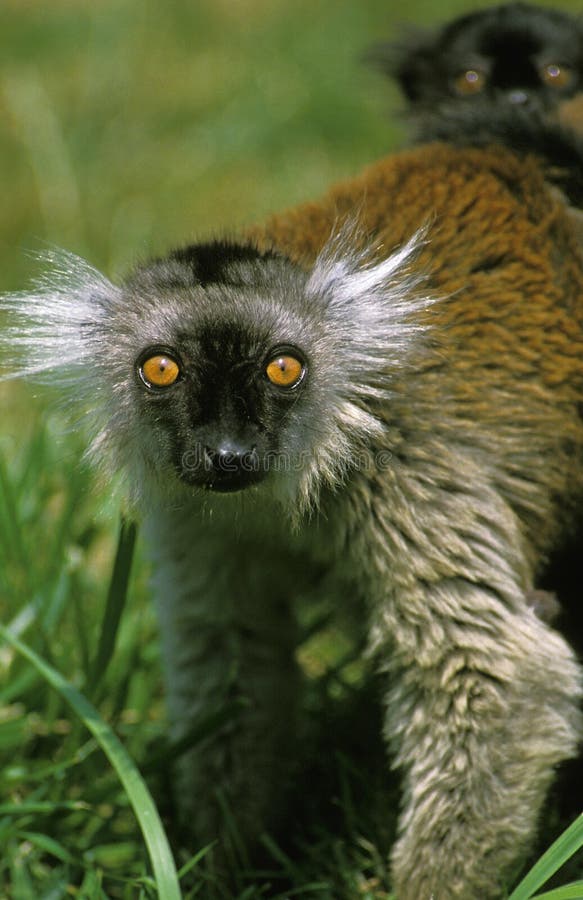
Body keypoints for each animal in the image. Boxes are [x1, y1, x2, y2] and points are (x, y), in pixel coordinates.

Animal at [3, 138, 583, 898]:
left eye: (284, 369)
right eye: (161, 369)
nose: (228, 454)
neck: (278, 495)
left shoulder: (405, 470)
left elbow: (496, 677)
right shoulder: (192, 515)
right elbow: (233, 658)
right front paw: (222, 869)